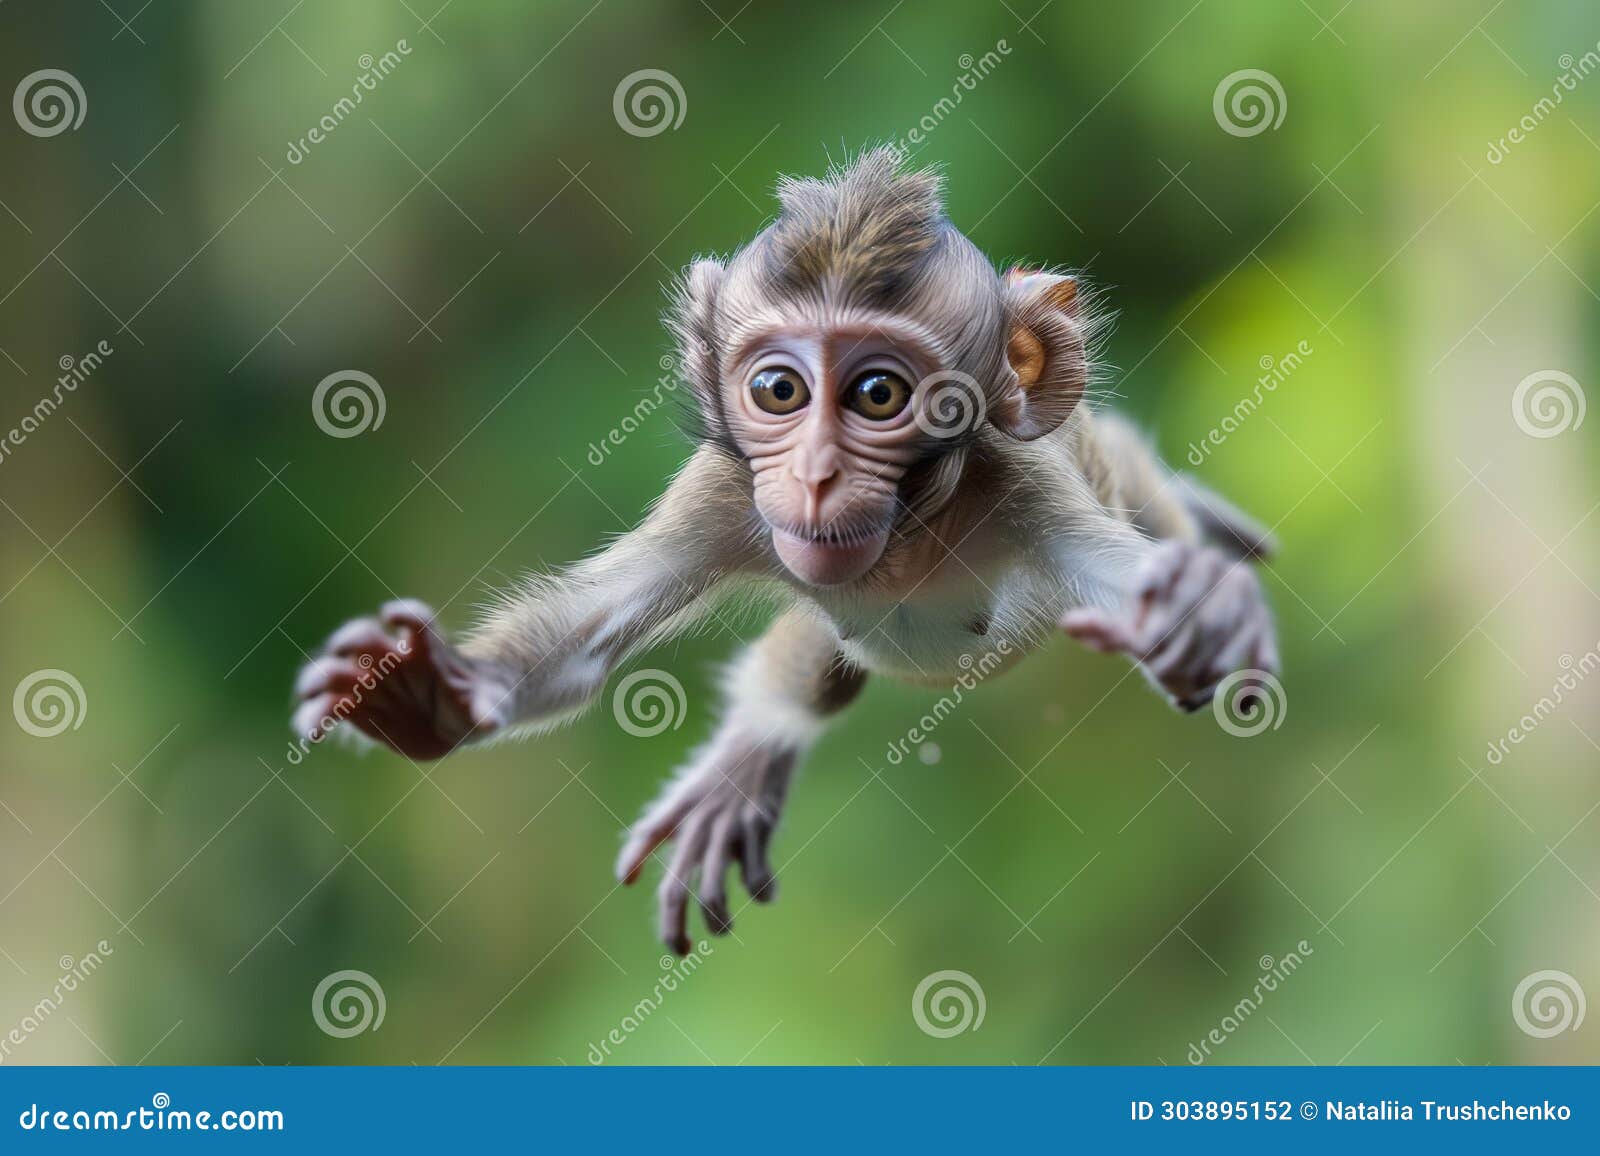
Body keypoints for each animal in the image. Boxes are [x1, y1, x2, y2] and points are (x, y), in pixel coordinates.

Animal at [291, 148, 1279, 955]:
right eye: (778, 389)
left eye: (879, 394)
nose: (811, 474)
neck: (910, 538)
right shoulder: (721, 496)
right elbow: (586, 633)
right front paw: (433, 694)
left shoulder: (1028, 483)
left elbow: (1127, 578)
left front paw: (1202, 612)